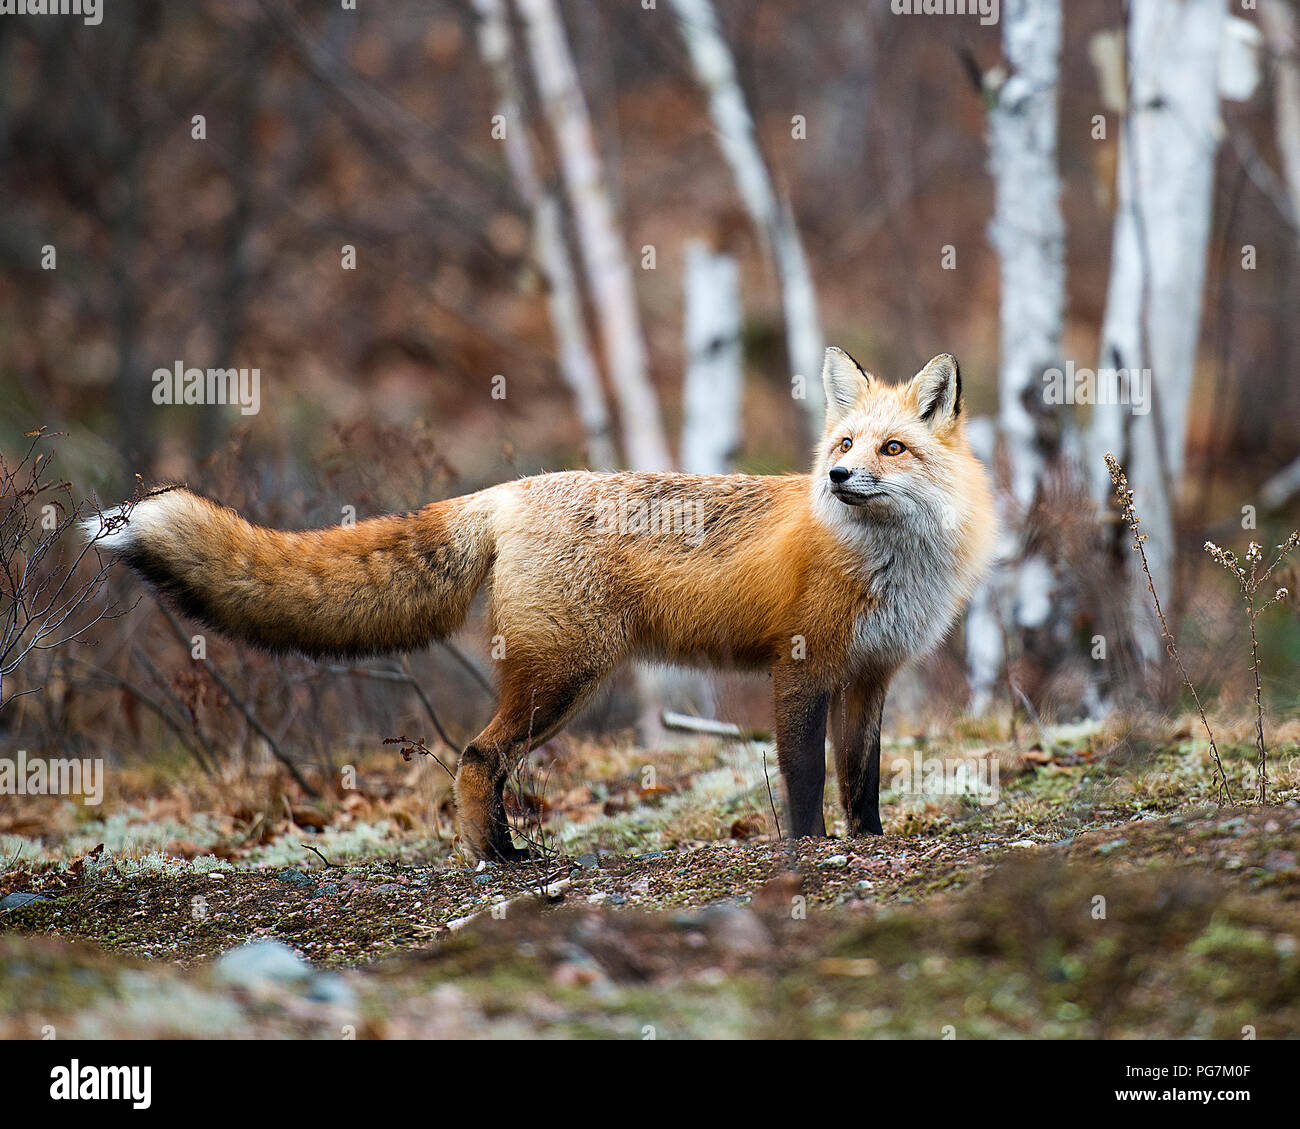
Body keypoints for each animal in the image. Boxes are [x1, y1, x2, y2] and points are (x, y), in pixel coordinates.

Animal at [86, 348, 996, 862]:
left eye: (892, 447)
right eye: (844, 444)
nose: (838, 477)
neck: (887, 562)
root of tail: (510, 489)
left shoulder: (872, 674)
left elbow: (862, 775)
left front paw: (869, 841)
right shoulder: (800, 669)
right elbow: (806, 776)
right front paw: (809, 849)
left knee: (478, 758)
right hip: (564, 677)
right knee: (475, 756)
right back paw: (500, 857)